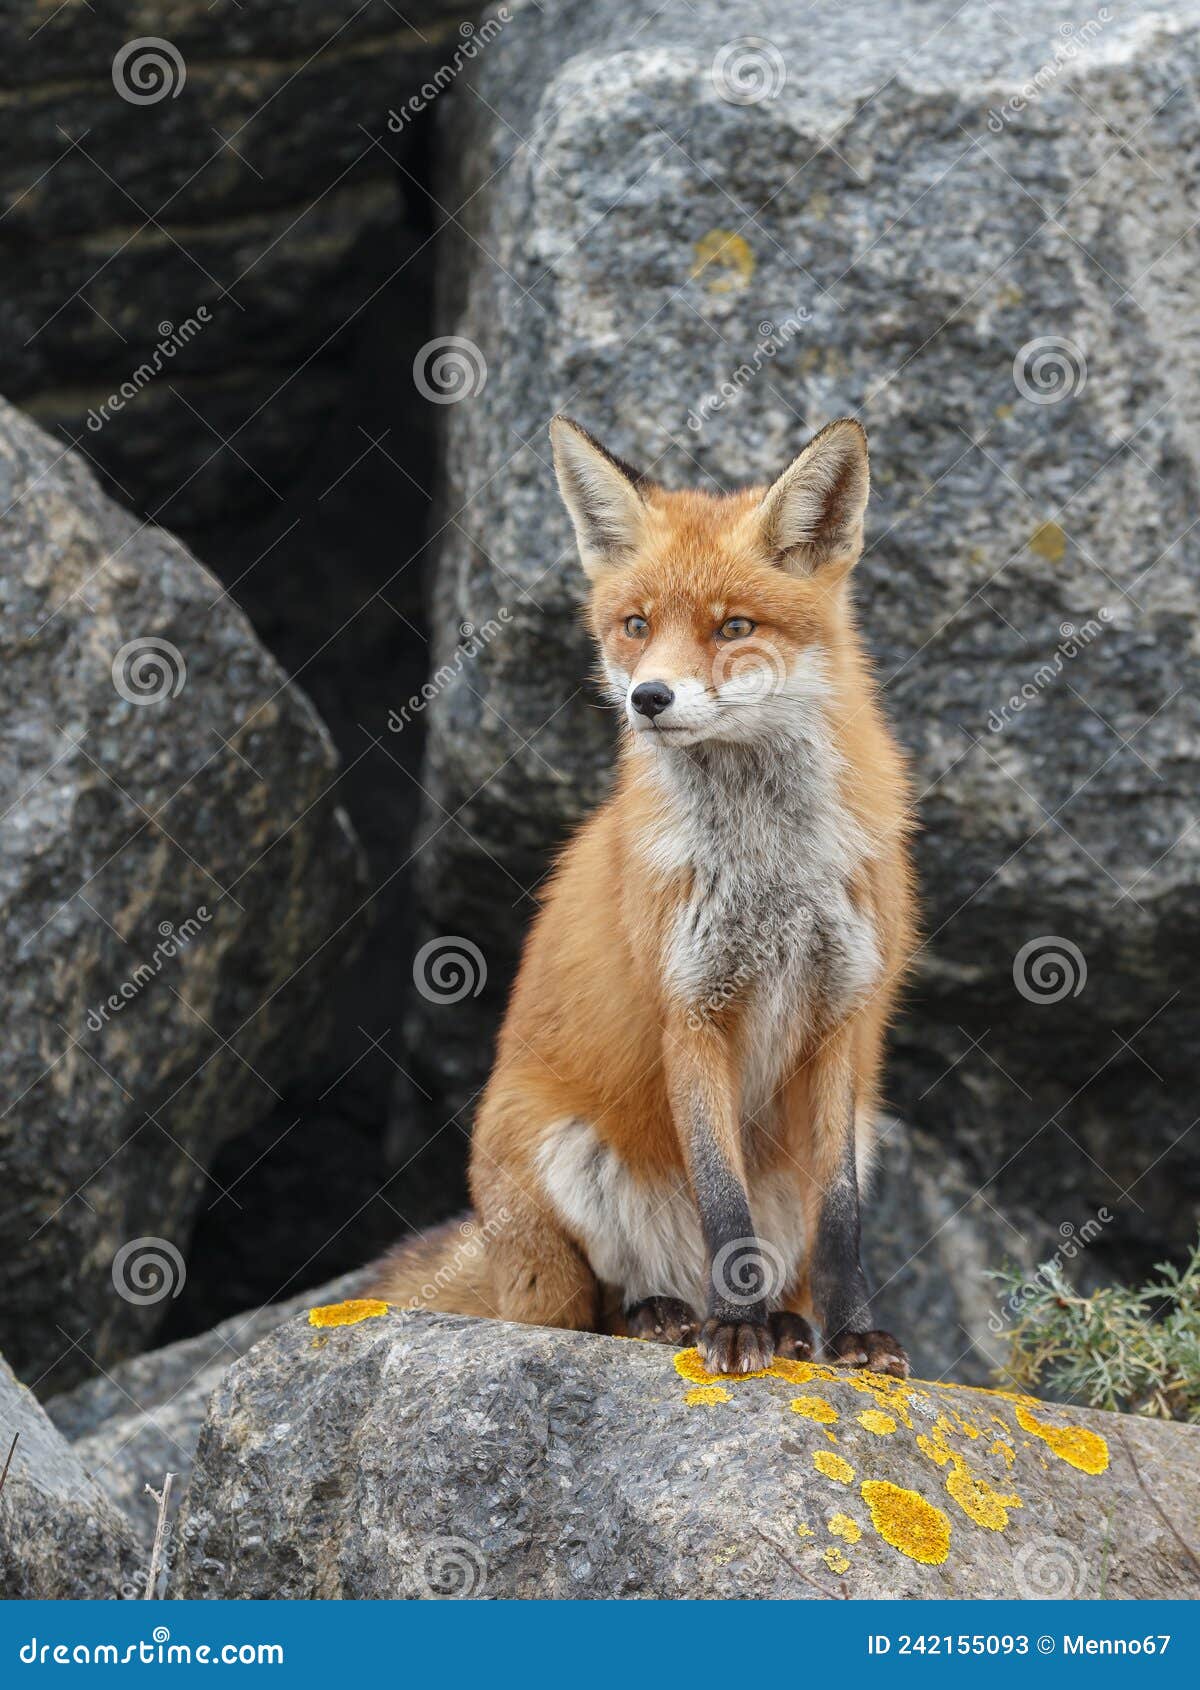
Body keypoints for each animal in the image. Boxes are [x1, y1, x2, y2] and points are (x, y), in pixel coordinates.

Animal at [371, 414, 917, 1378]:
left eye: (733, 625)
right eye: (634, 625)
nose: (649, 697)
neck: (768, 866)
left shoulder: (841, 1019)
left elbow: (842, 1220)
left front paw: (851, 1335)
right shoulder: (691, 1008)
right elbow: (721, 1198)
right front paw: (732, 1329)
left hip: (860, 1123)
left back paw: (786, 1323)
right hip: (555, 1154)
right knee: (587, 1311)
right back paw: (670, 1315)